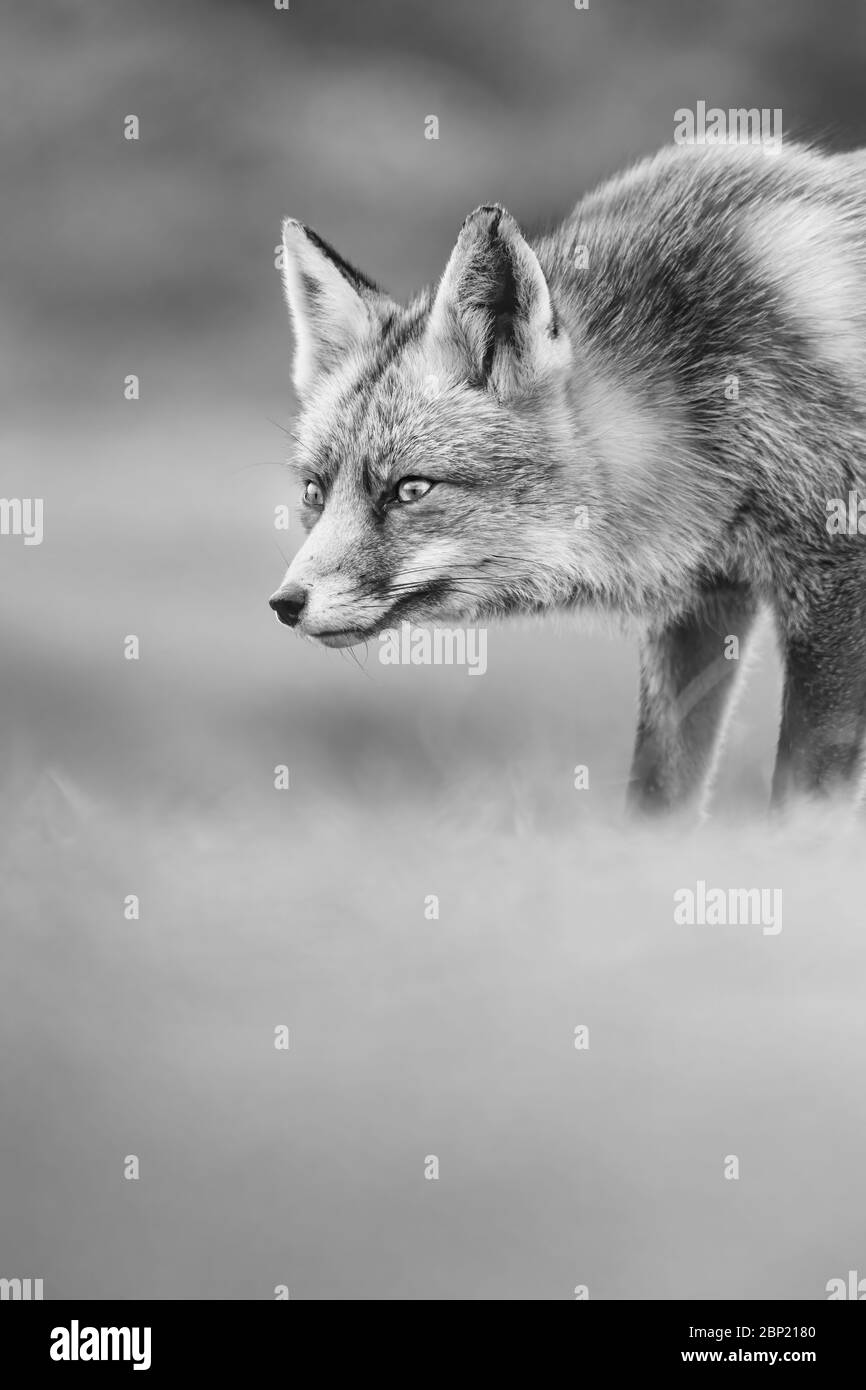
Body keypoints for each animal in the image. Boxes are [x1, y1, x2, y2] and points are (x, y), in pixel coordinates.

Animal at [269, 141, 866, 813]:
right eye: (314, 492)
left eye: (411, 489)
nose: (285, 603)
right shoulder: (703, 603)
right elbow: (658, 795)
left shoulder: (836, 574)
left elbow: (803, 798)